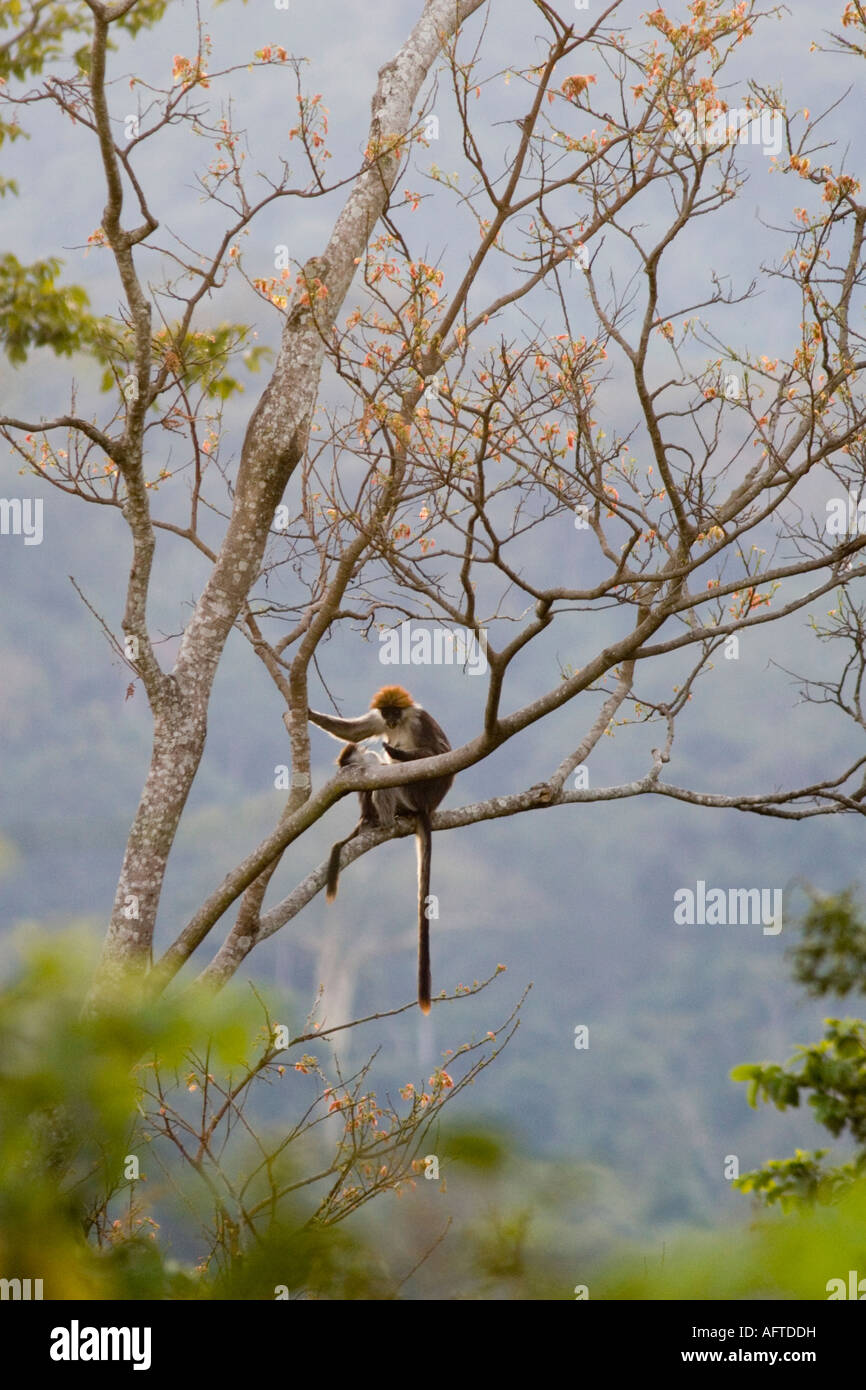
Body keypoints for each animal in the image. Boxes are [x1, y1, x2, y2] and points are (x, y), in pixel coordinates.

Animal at [308, 686, 452, 1014]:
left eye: (395, 712)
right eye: (386, 714)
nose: (390, 722)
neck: (401, 723)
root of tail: (427, 807)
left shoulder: (420, 720)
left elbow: (442, 753)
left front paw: (398, 752)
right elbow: (354, 731)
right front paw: (306, 711)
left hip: (414, 794)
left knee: (388, 776)